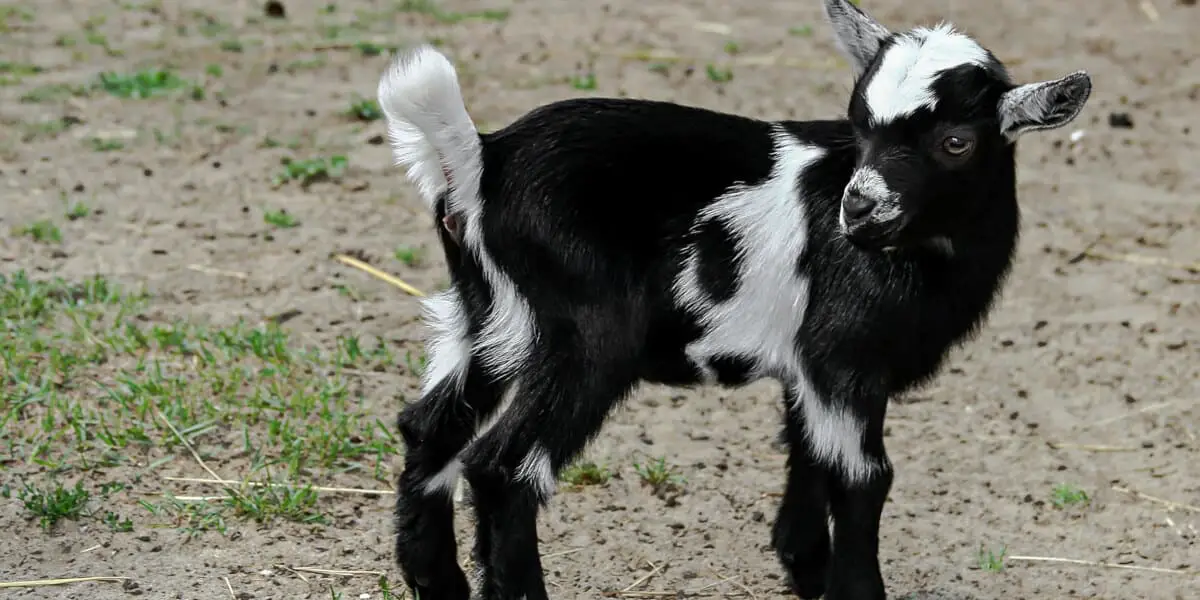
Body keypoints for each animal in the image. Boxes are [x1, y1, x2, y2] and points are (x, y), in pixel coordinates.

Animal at [376, 1, 1092, 598]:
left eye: (955, 142)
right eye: (859, 126)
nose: (857, 210)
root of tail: (482, 164)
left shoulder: (811, 366)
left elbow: (808, 453)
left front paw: (806, 568)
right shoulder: (843, 358)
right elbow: (863, 477)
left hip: (488, 314)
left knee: (429, 426)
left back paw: (440, 583)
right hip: (586, 335)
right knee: (504, 467)